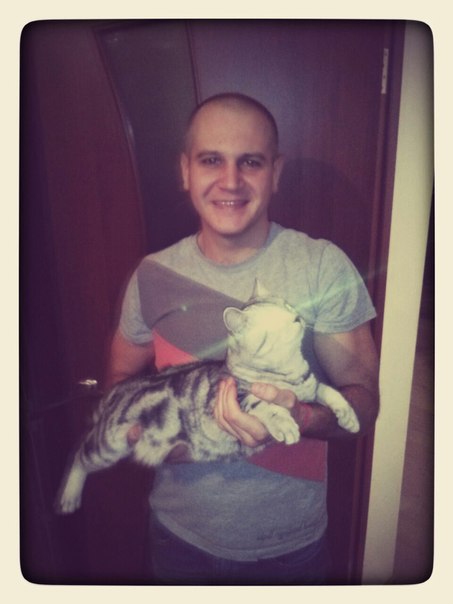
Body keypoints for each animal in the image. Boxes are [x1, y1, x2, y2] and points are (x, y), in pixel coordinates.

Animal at [56, 281, 360, 514]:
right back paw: (69, 496)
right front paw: (284, 422)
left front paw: (349, 416)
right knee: (79, 453)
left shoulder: (311, 386)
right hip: (110, 444)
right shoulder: (235, 396)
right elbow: (264, 403)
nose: (297, 316)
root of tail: (118, 391)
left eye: (287, 305)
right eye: (275, 322)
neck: (289, 370)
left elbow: (331, 391)